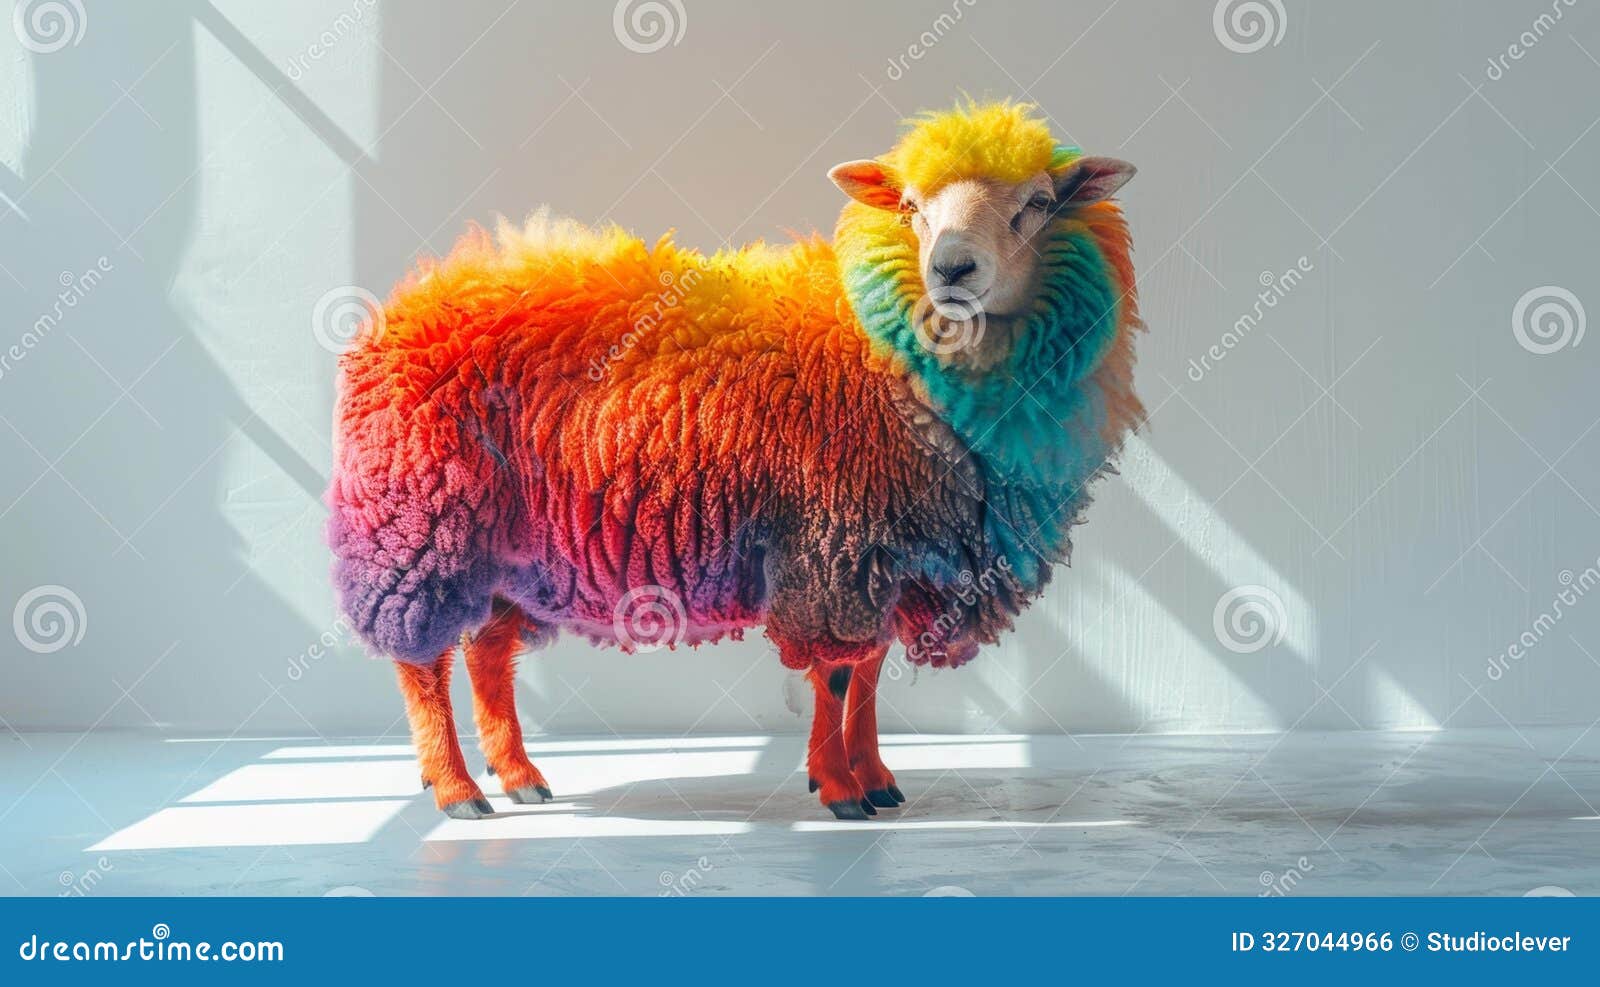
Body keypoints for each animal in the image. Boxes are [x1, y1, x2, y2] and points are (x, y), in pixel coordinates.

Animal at [326, 100, 1144, 821]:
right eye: (910, 206)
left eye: (1038, 202)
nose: (952, 268)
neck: (881, 344)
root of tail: (421, 295)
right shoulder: (832, 543)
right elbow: (836, 674)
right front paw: (839, 788)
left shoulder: (889, 552)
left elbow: (869, 673)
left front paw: (877, 778)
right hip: (422, 519)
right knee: (422, 657)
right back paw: (455, 788)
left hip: (513, 547)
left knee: (488, 652)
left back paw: (520, 775)